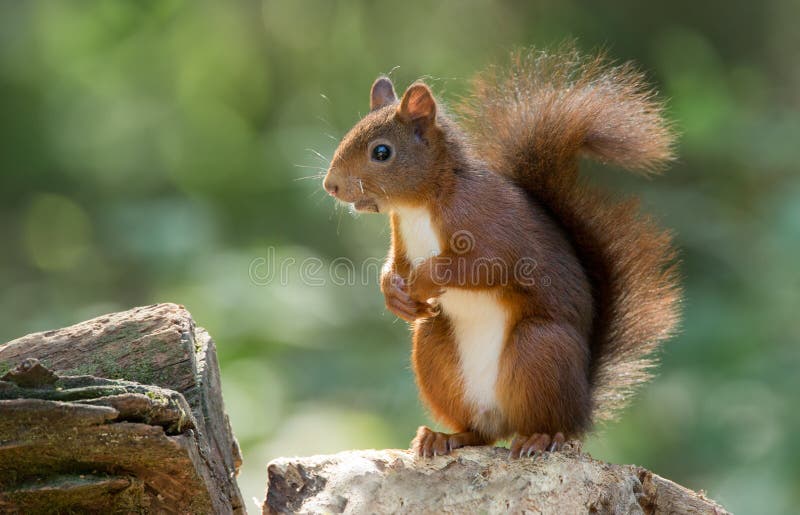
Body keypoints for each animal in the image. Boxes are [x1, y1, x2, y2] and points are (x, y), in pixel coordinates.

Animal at [322, 46, 681, 458]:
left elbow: (482, 267)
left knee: (552, 424)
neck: (420, 205)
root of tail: (582, 405)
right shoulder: (401, 237)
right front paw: (394, 294)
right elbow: (394, 264)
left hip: (540, 349)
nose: (330, 186)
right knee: (481, 432)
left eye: (382, 152)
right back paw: (446, 437)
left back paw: (542, 437)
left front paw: (421, 281)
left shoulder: (492, 231)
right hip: (435, 348)